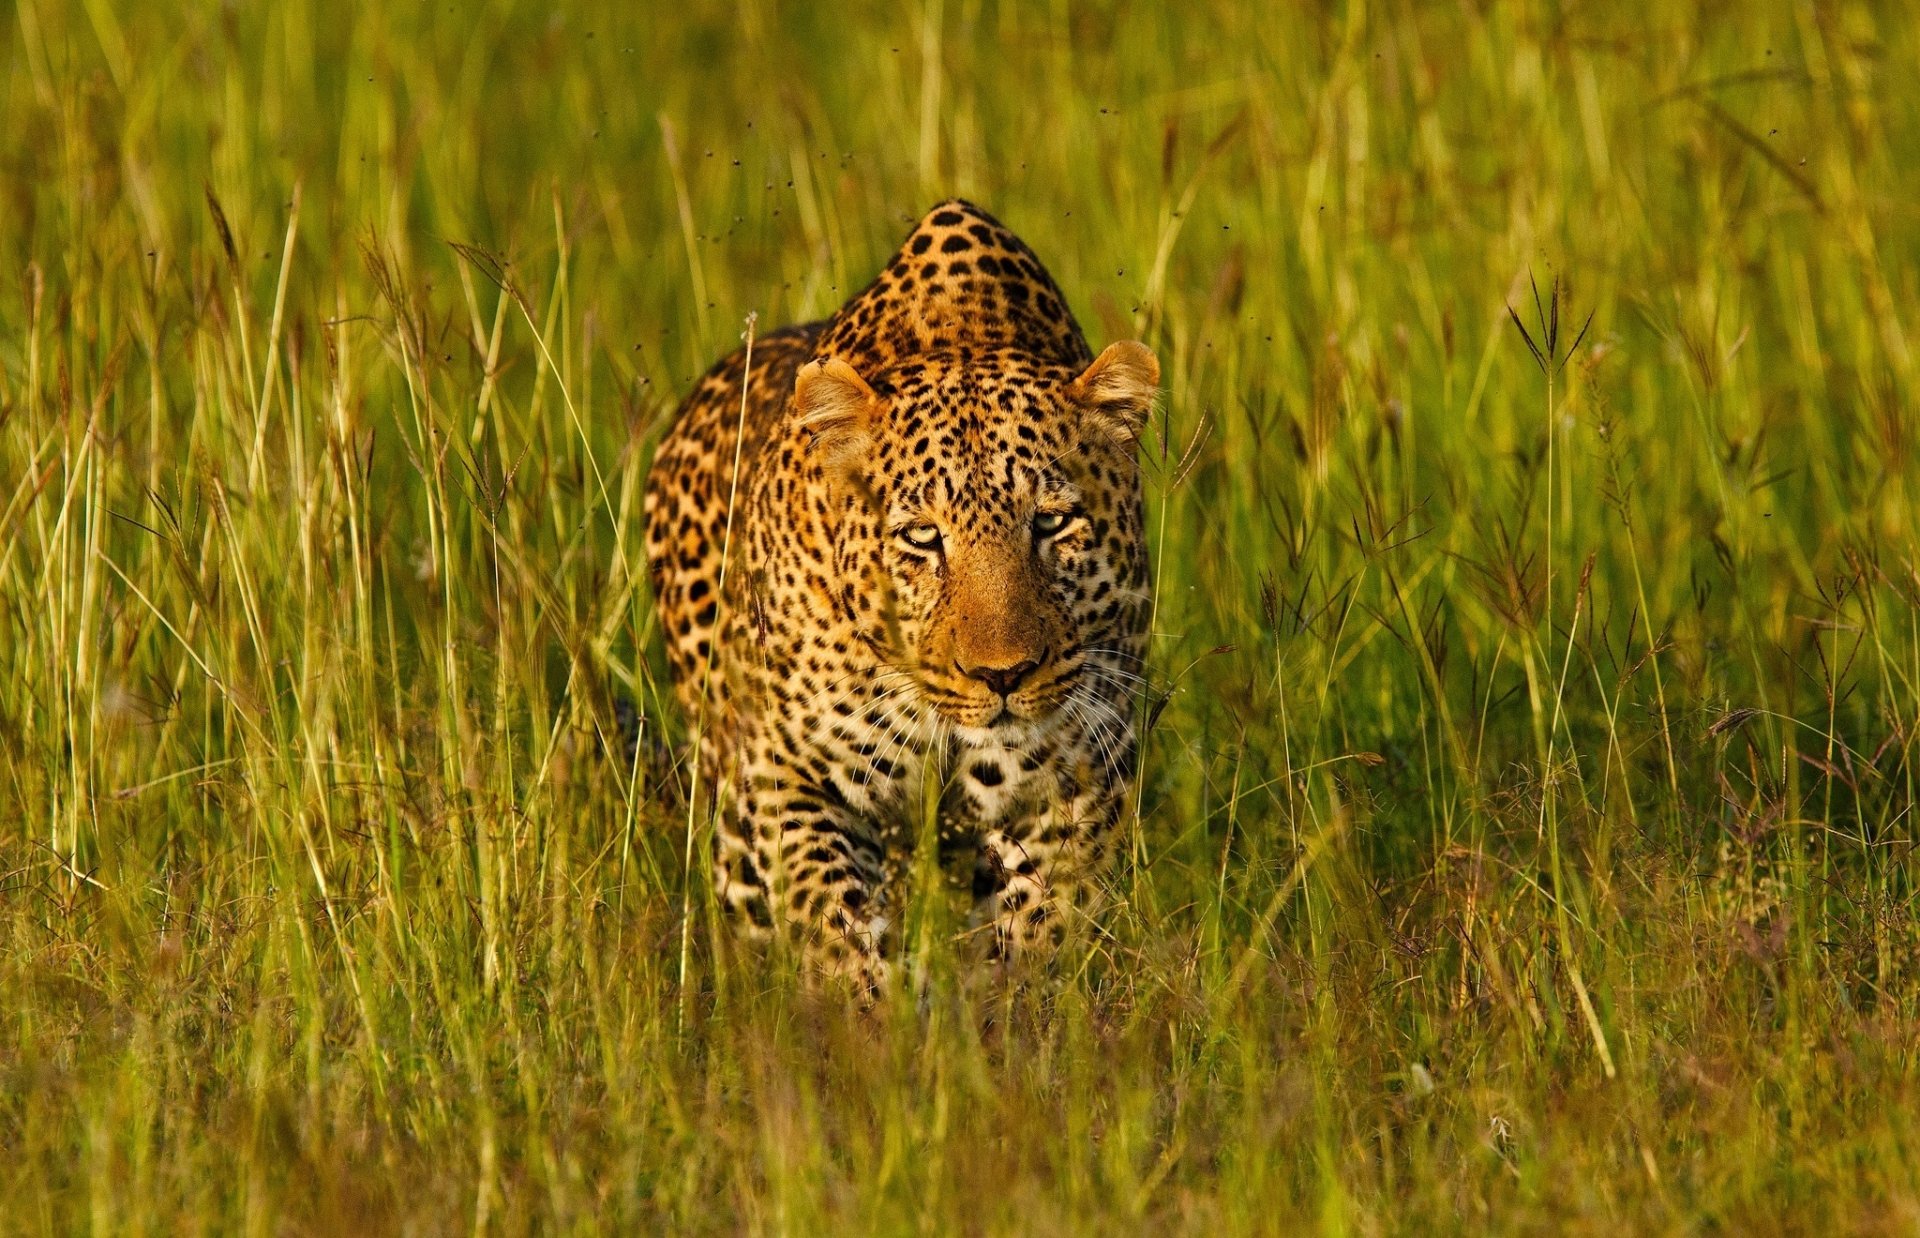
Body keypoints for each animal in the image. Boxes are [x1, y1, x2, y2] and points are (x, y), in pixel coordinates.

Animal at [643, 199, 1159, 992]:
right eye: (923, 538)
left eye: (1051, 522)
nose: (1003, 675)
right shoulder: (787, 775)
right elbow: (830, 920)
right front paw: (868, 1015)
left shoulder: (1081, 775)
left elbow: (1046, 923)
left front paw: (1015, 1011)